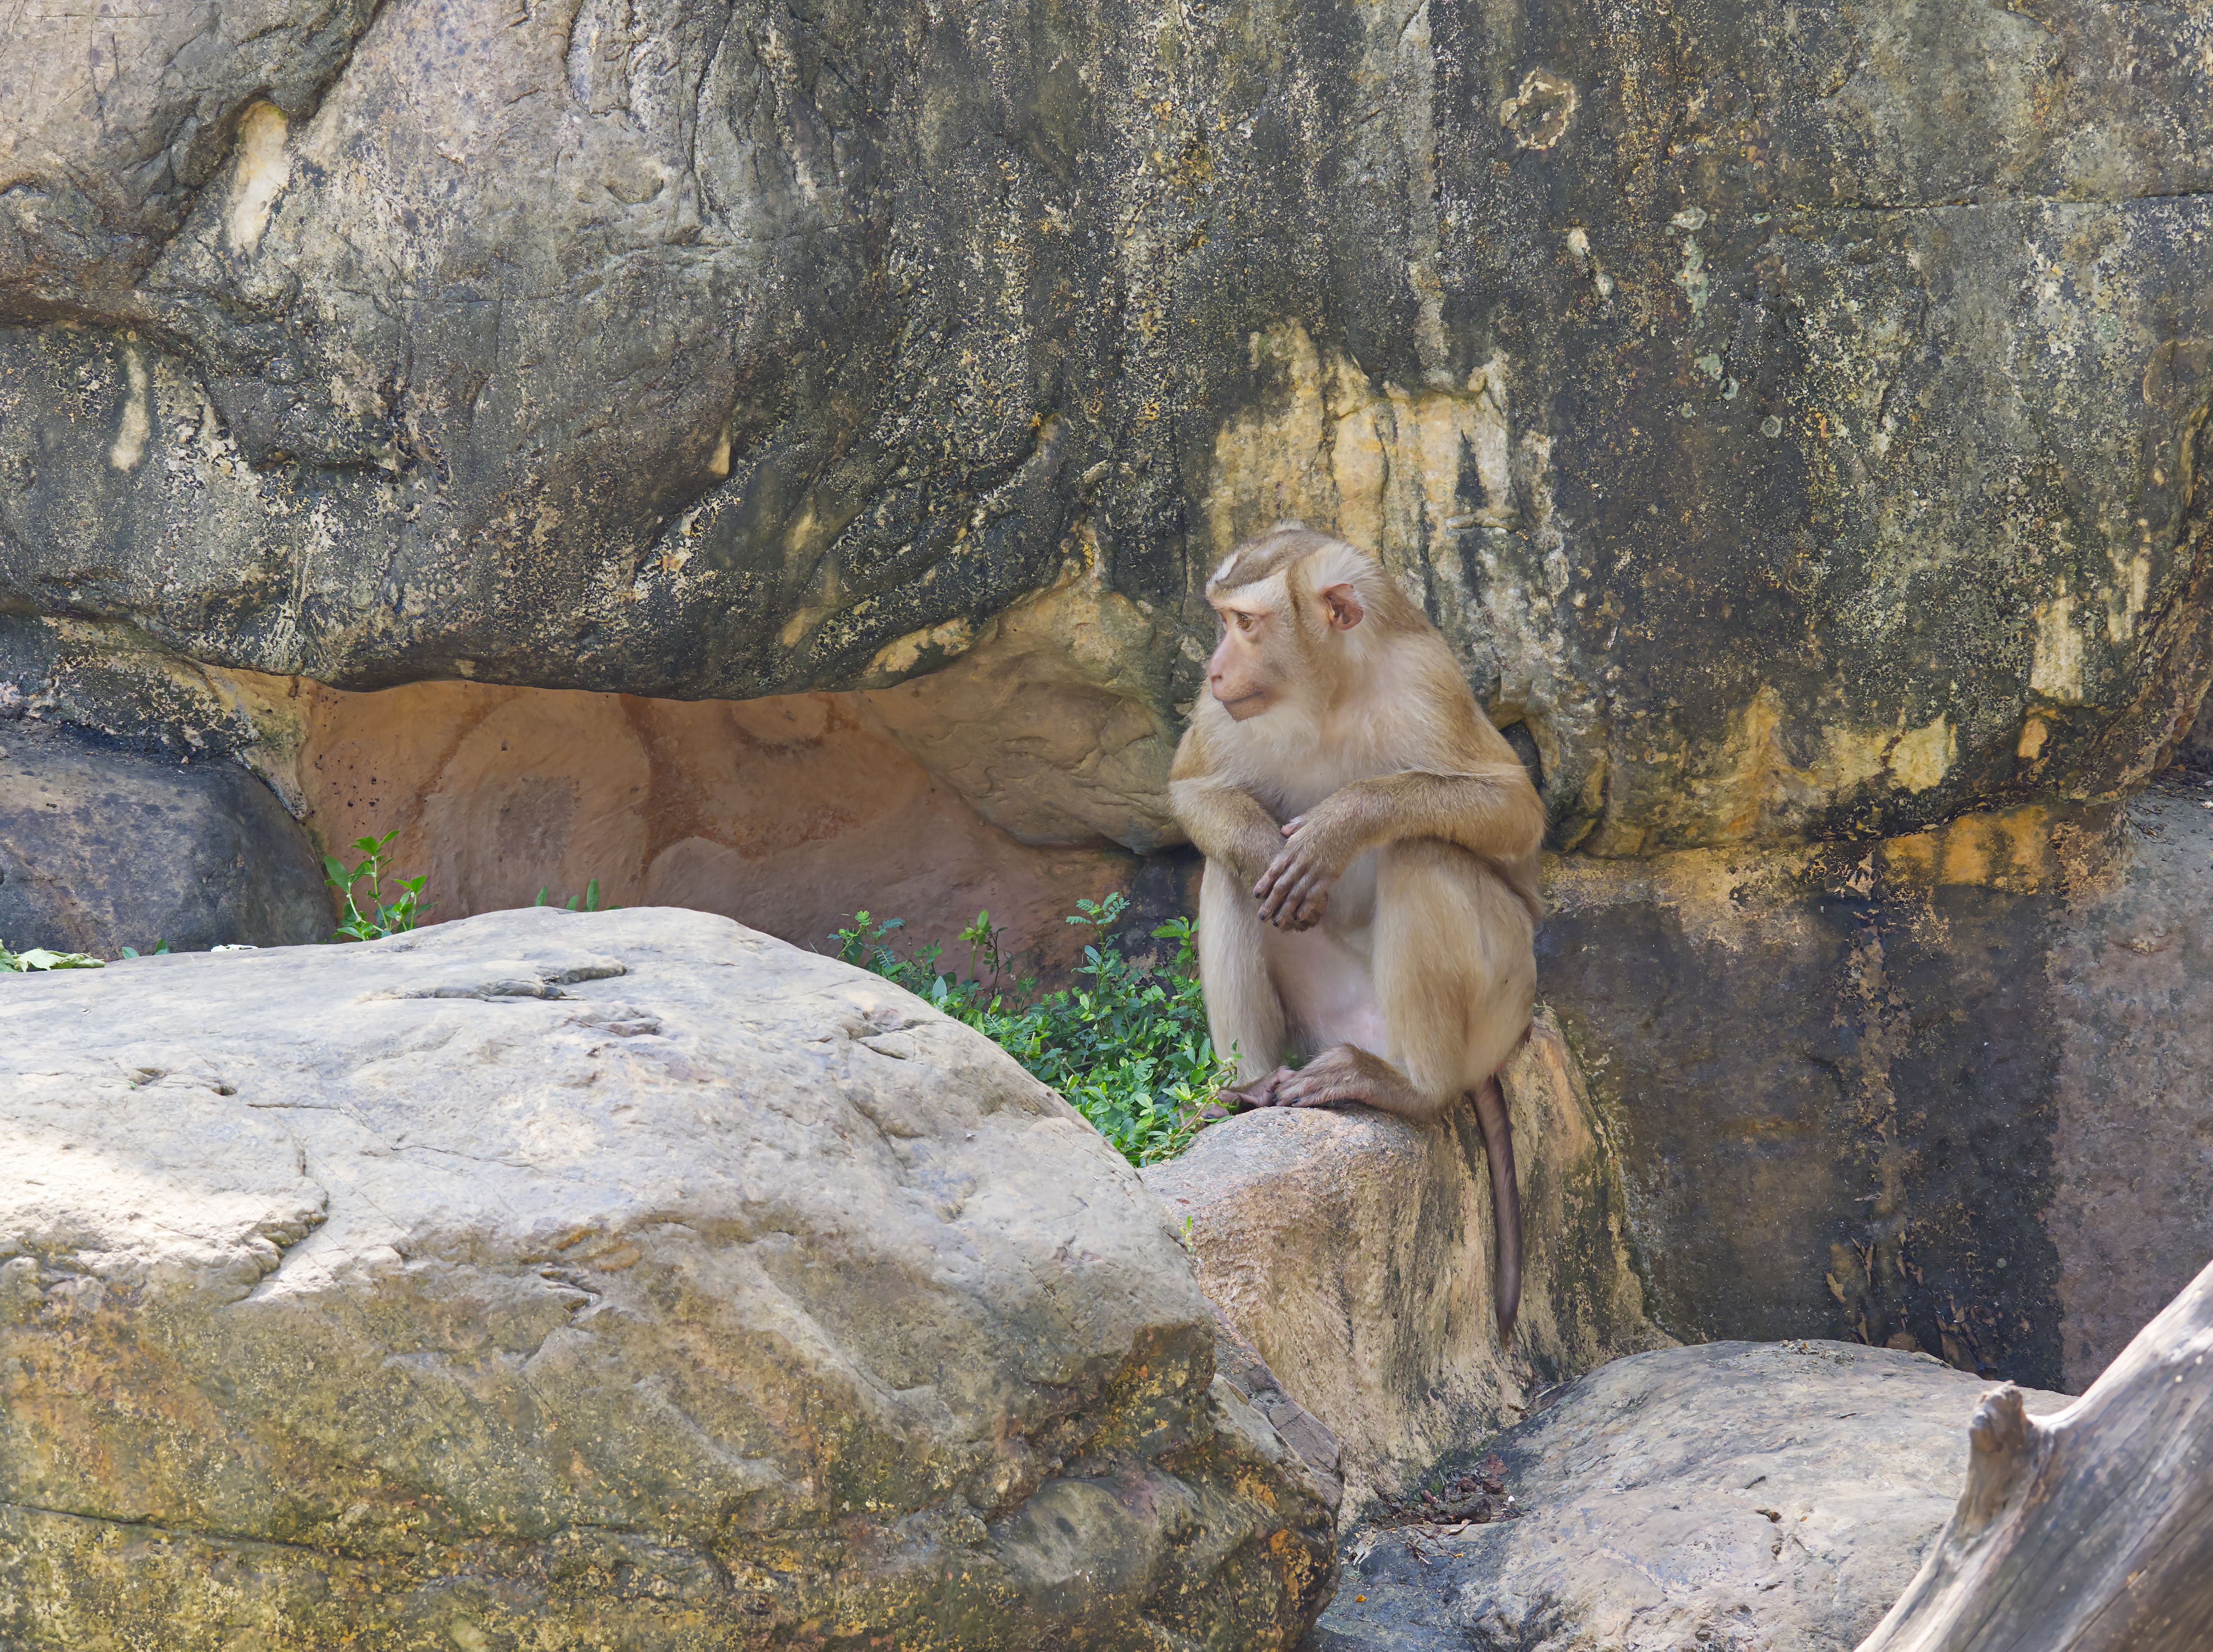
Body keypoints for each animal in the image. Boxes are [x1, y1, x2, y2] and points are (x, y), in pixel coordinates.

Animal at [1168, 522, 1545, 1343]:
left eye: (1246, 624)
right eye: (1223, 621)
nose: (1213, 668)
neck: (1326, 697)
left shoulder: (1425, 682)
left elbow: (1515, 811)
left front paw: (1348, 821)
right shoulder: (1223, 715)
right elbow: (1192, 790)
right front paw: (1261, 846)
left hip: (1501, 1005)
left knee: (1424, 852)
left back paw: (1410, 1086)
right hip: (1326, 1011)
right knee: (1224, 872)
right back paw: (1245, 1090)